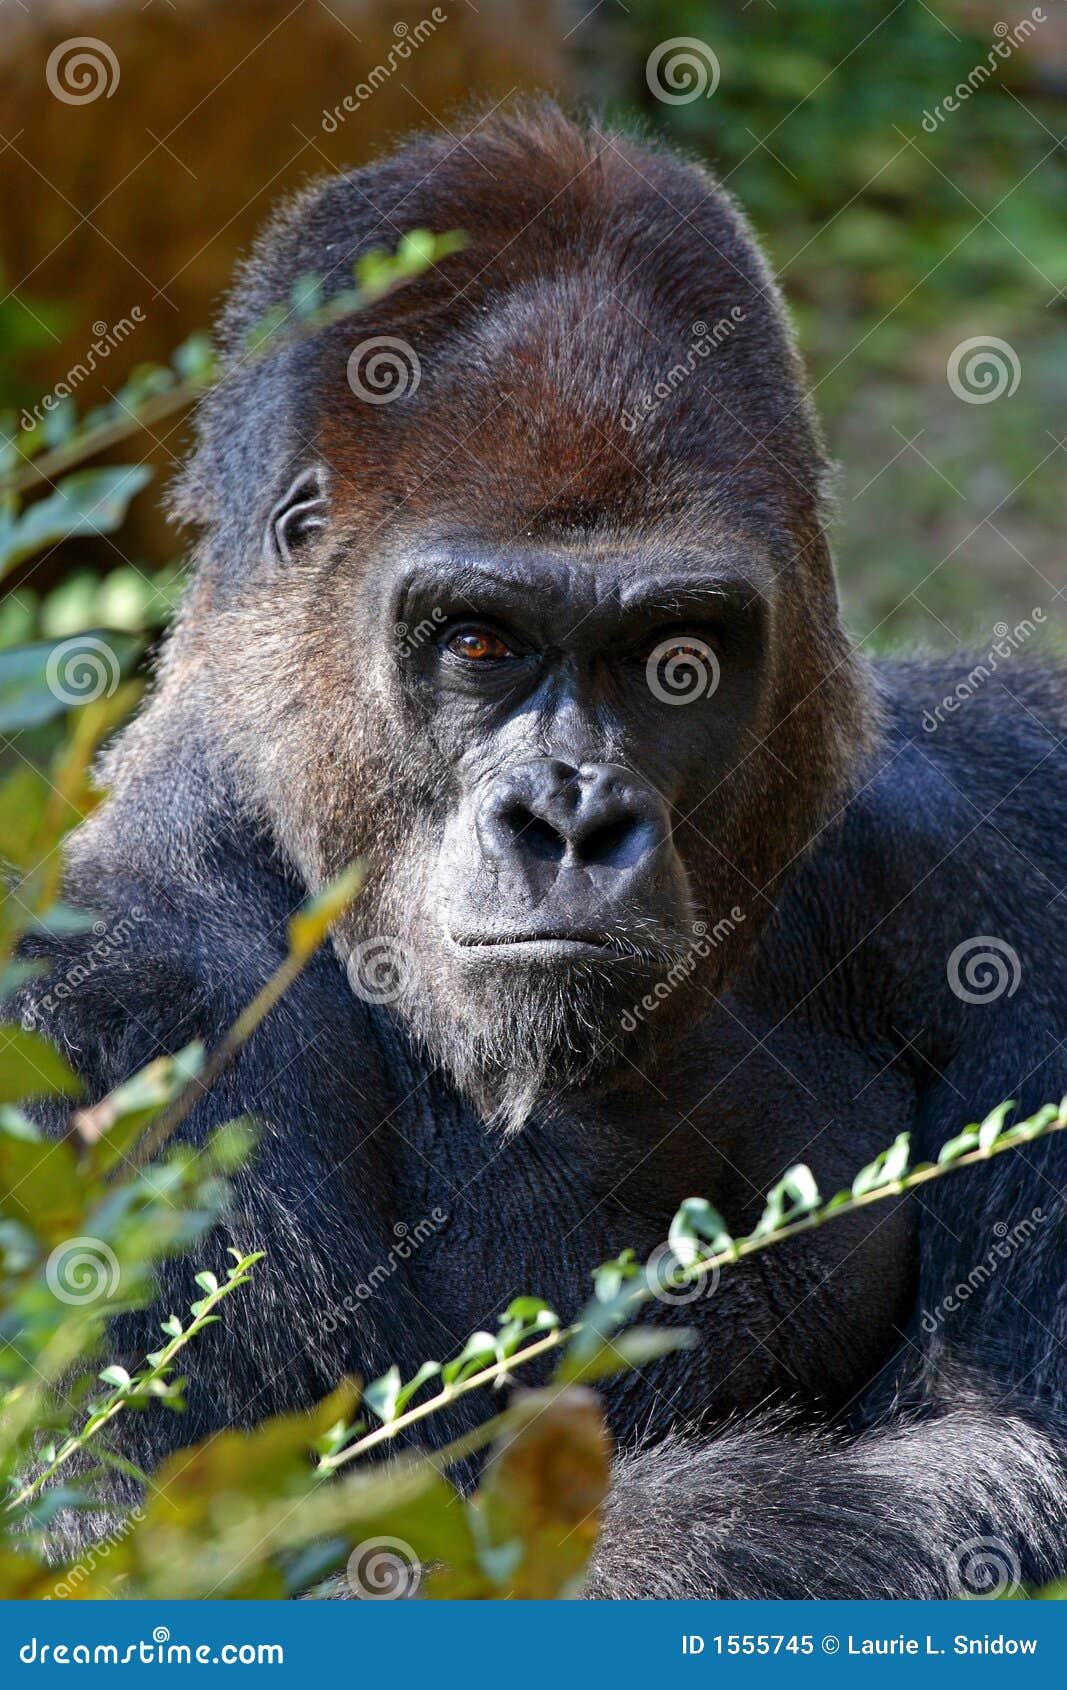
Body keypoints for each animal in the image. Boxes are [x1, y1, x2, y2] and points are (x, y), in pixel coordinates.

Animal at [16, 102, 1067, 1598]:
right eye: (477, 642)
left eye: (676, 656)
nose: (570, 819)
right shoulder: (106, 1015)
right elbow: (239, 1556)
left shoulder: (1002, 827)